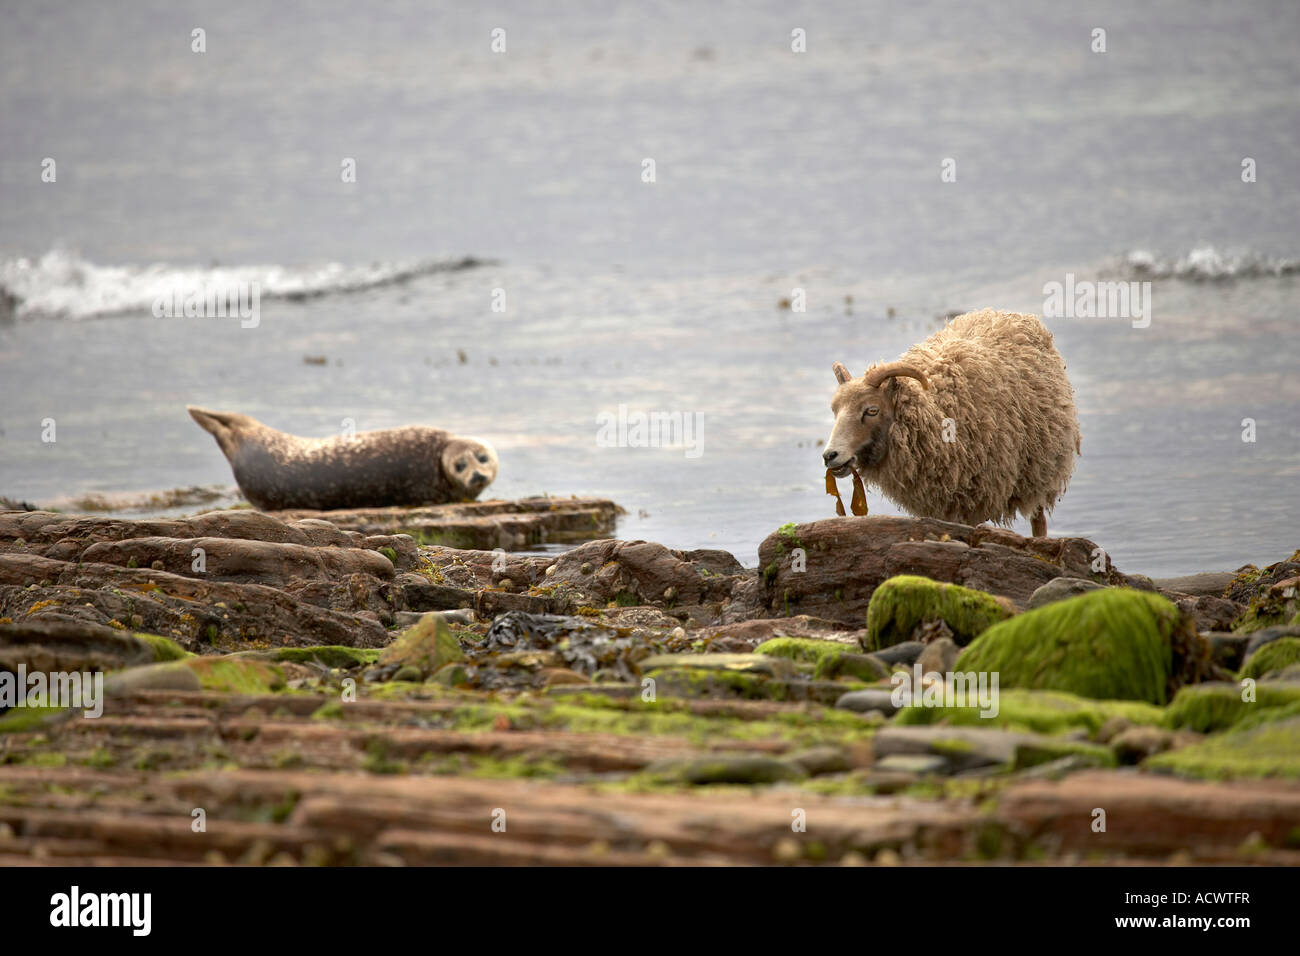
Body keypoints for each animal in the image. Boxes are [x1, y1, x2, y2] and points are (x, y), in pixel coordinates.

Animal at [821, 309, 1081, 537]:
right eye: (834, 410)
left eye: (872, 410)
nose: (829, 455)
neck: (935, 409)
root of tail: (1010, 314)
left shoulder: (972, 497)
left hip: (1040, 469)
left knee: (1039, 520)